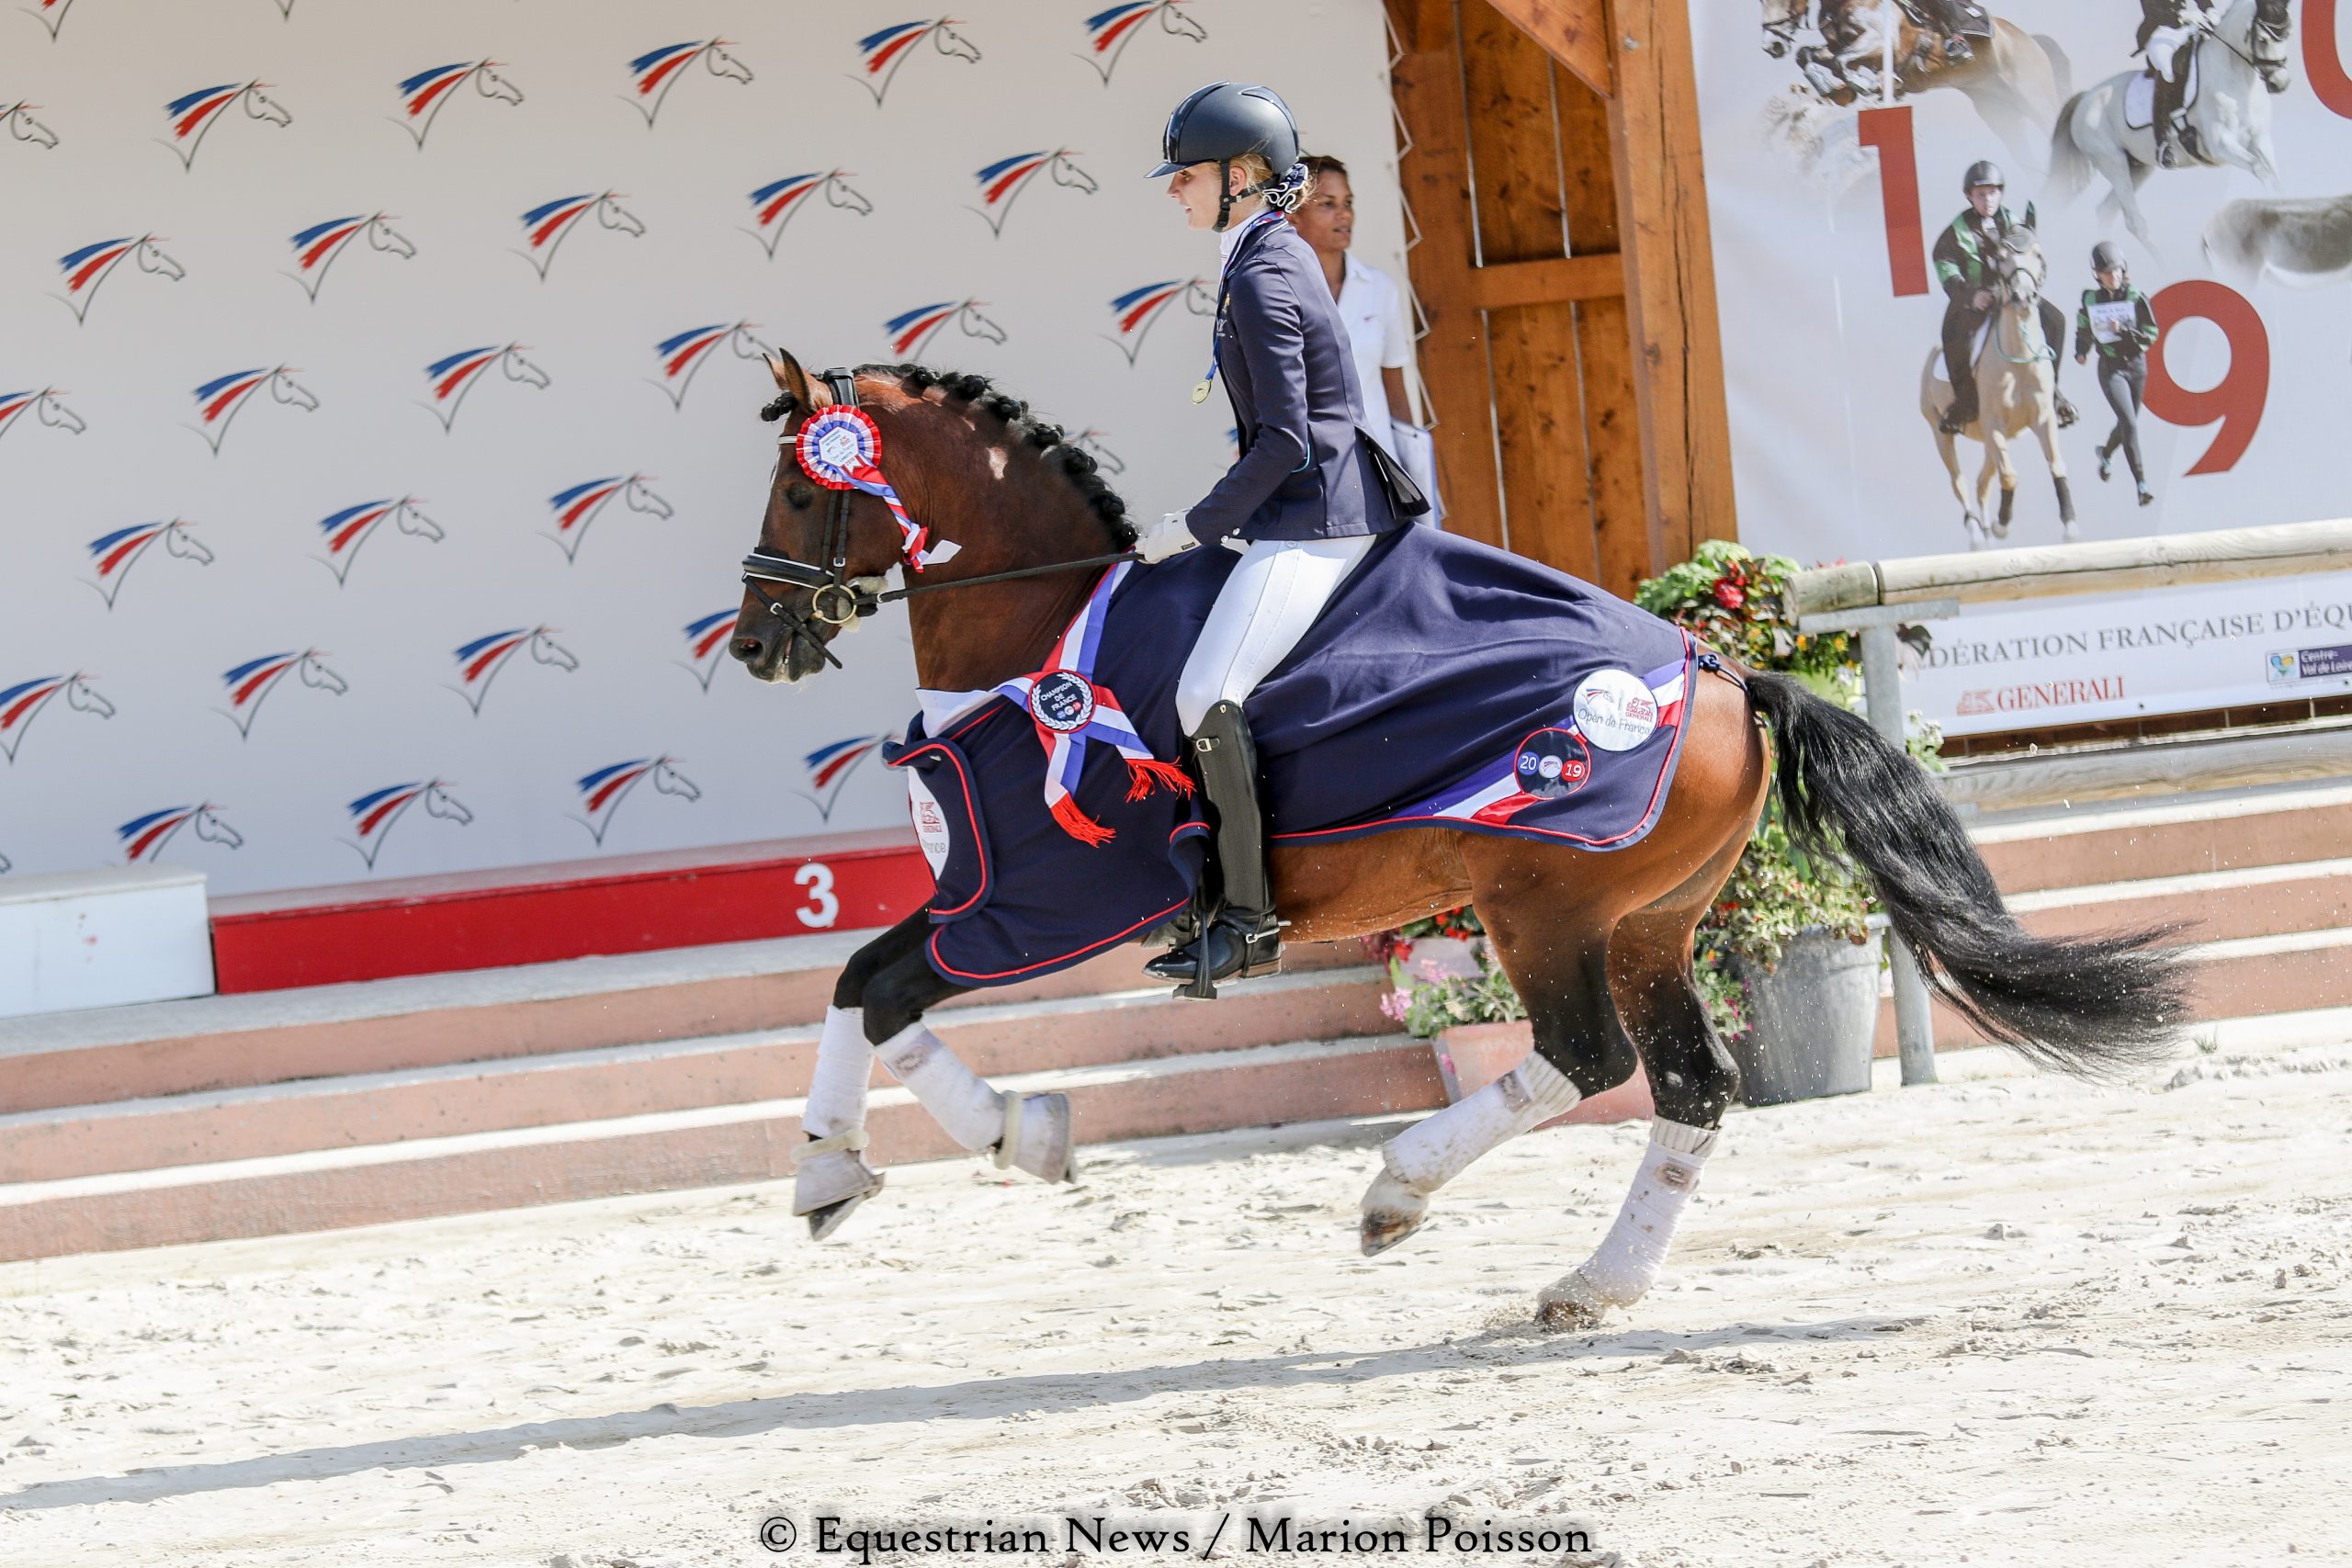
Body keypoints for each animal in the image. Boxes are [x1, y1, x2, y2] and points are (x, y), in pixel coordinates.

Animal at [725, 351, 2188, 1325]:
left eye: (798, 490)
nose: (755, 642)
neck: (1036, 626)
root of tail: (1722, 672)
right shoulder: (996, 898)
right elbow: (861, 985)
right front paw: (917, 1155)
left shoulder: (1037, 898)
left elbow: (880, 984)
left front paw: (924, 1152)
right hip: (1652, 921)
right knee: (1690, 1081)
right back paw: (1593, 1284)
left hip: (1541, 907)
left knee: (1585, 1057)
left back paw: (1399, 1190)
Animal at [1760, 0, 2066, 173]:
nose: (1772, 45)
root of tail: (2032, 41)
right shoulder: (1842, 47)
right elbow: (1812, 56)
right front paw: (1836, 89)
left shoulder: (1880, 43)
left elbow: (1841, 61)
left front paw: (1870, 85)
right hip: (2000, 113)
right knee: (2027, 161)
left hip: (2036, 102)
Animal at [2050, 0, 2294, 255]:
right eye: (2263, 39)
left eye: (2288, 34)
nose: (2280, 83)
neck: (2235, 77)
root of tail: (2085, 98)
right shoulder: (2220, 145)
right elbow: (2261, 170)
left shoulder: (2261, 140)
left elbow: (2277, 180)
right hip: (2112, 162)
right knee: (2135, 222)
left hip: (2138, 167)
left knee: (2106, 211)